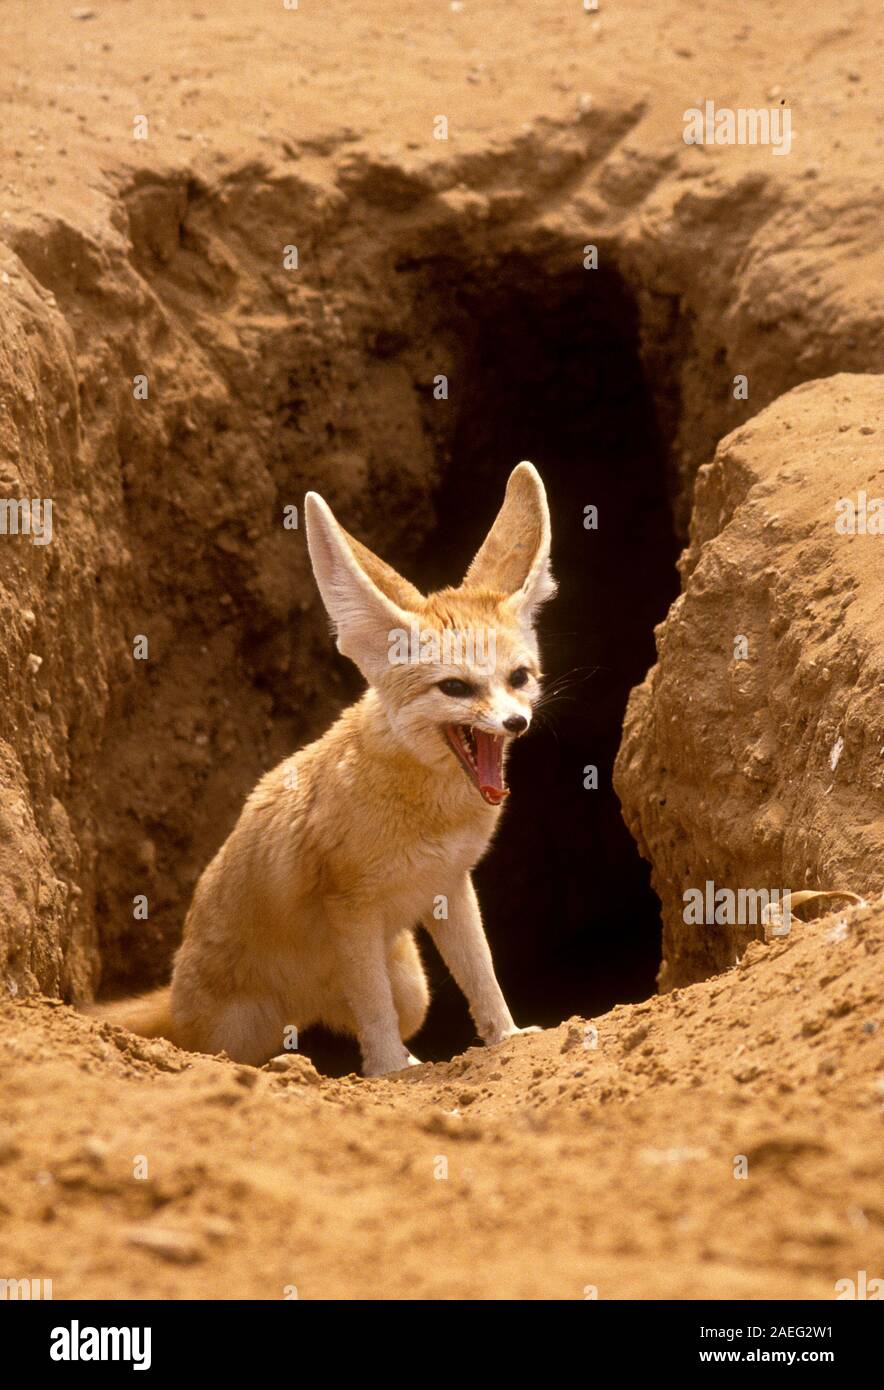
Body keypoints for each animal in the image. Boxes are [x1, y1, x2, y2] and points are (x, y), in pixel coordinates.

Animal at [90, 460, 556, 1076]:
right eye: (455, 688)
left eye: (519, 678)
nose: (515, 723)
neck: (428, 811)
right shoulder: (351, 907)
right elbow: (374, 1007)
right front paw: (392, 1071)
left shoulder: (450, 886)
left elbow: (481, 975)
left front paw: (507, 1035)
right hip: (242, 1028)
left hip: (413, 989)